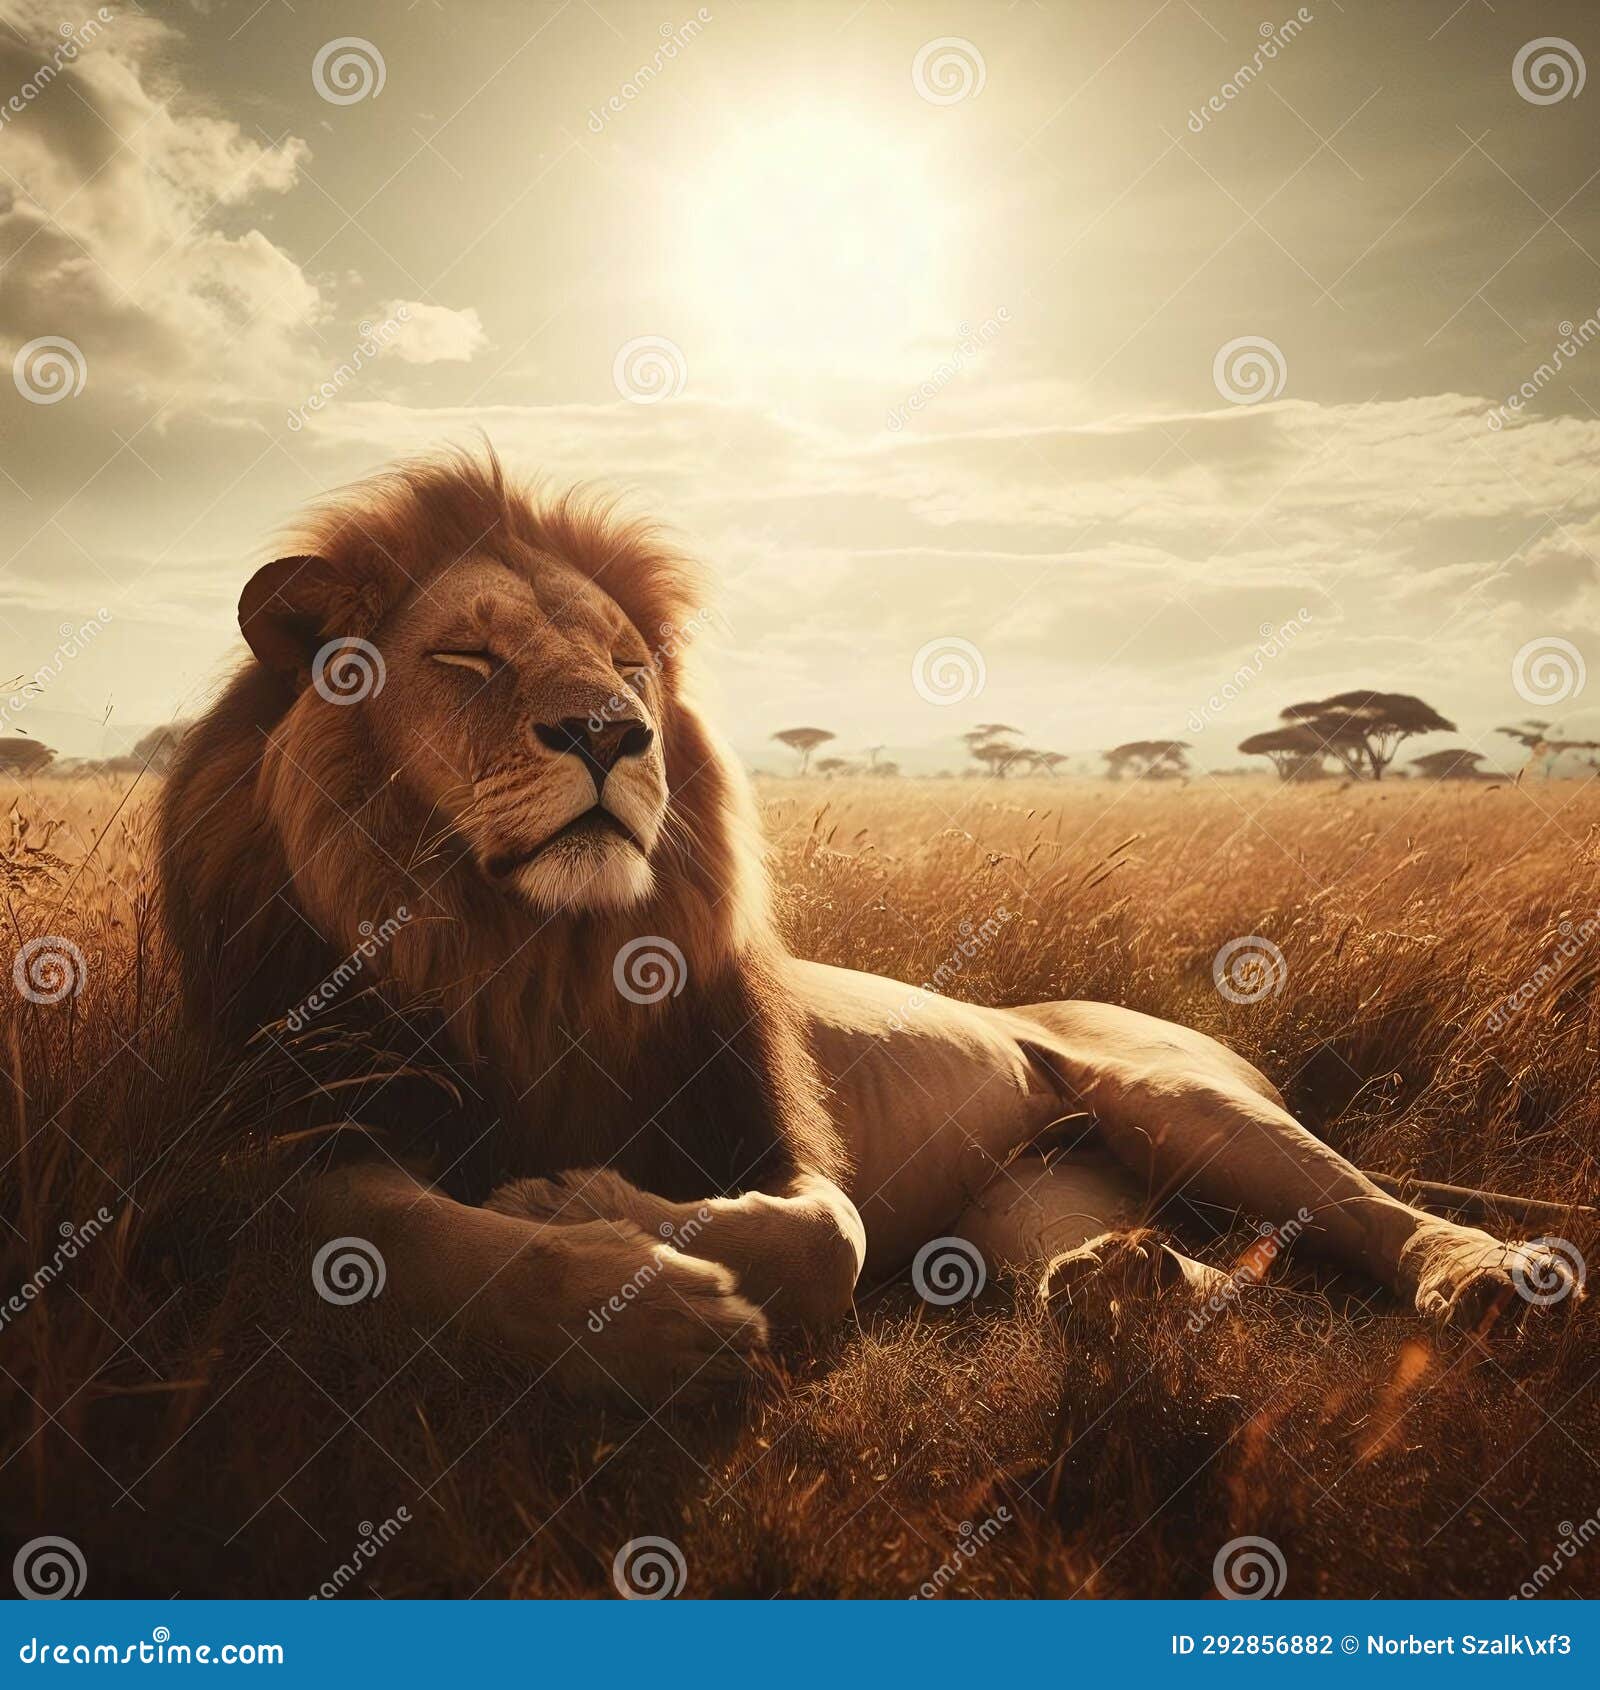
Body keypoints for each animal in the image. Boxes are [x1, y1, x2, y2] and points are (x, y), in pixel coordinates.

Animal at [157, 451, 1581, 1401]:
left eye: (629, 665)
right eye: (465, 661)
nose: (614, 732)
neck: (524, 947)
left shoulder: (773, 1125)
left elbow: (824, 1234)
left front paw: (587, 1205)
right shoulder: (277, 1141)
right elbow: (412, 1235)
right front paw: (645, 1317)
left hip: (1177, 1094)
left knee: (1371, 1212)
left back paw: (1484, 1282)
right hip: (1024, 1205)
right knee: (1228, 1287)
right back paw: (1127, 1289)